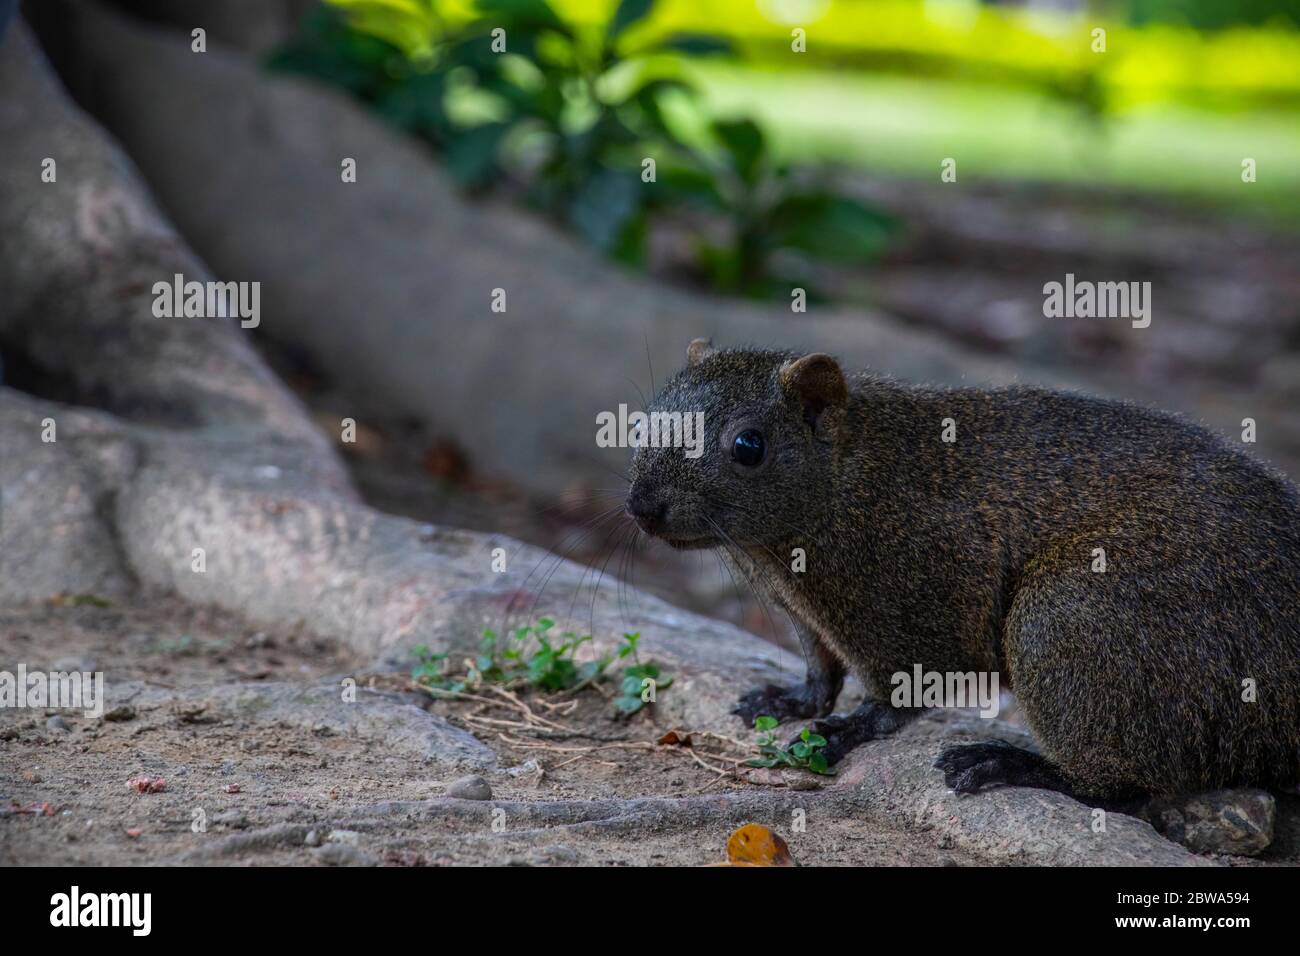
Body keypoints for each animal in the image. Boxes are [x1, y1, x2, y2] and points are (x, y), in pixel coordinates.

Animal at [626, 339, 1300, 803]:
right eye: (641, 421)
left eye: (748, 446)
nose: (641, 505)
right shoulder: (805, 611)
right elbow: (820, 668)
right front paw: (791, 699)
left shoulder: (915, 598)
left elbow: (901, 689)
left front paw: (847, 731)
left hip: (1071, 617)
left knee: (1130, 780)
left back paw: (1018, 766)